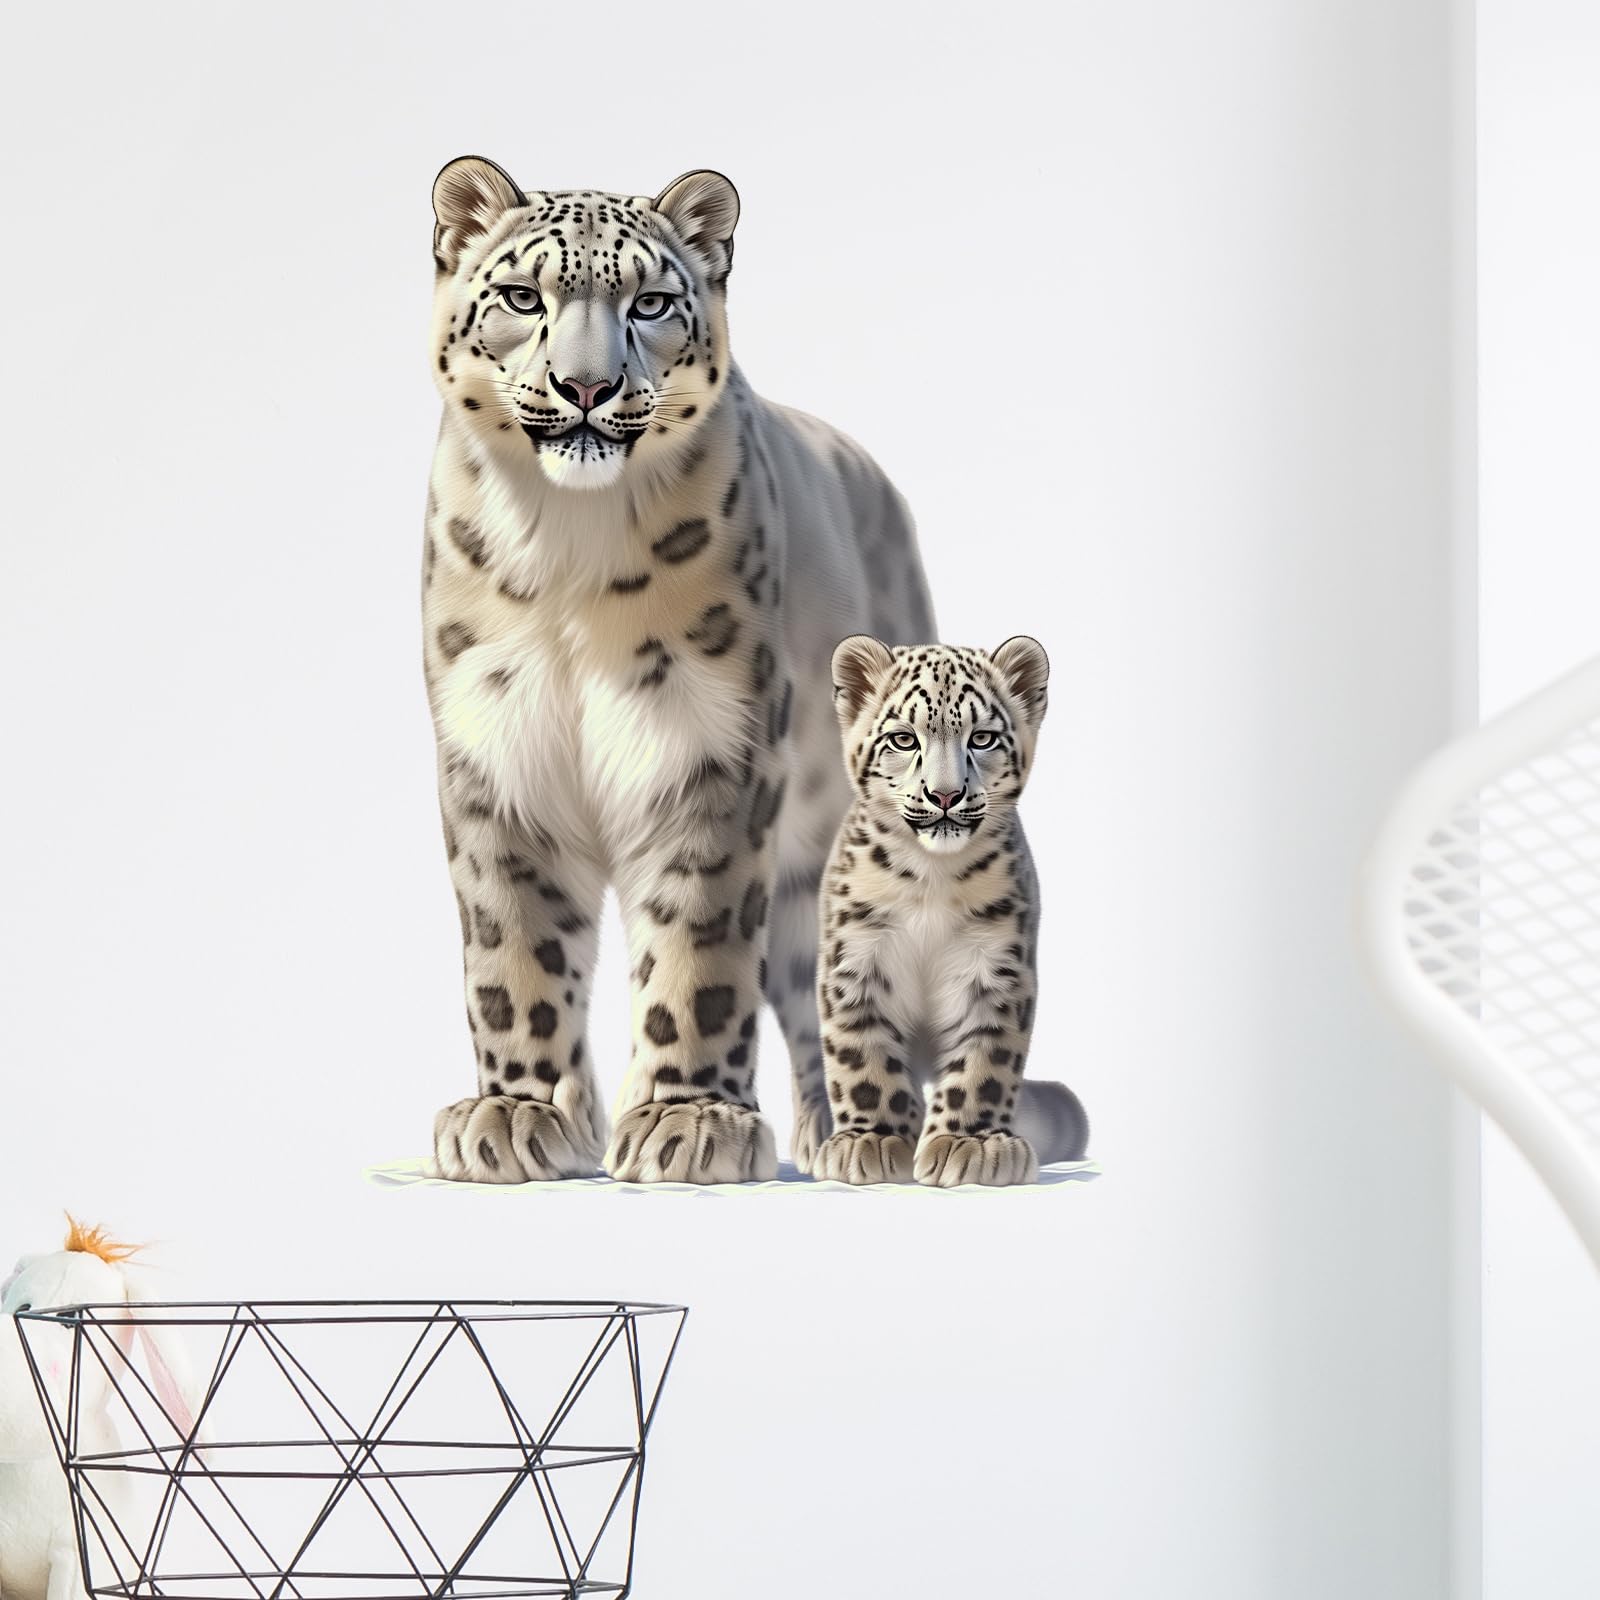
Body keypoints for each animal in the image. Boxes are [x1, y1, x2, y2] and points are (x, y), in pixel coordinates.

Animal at [421, 156, 934, 1183]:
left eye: (651, 301)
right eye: (522, 296)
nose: (585, 386)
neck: (566, 548)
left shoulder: (712, 753)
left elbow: (698, 951)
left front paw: (688, 1120)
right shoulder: (496, 753)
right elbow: (515, 949)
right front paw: (515, 1112)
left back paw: (842, 1141)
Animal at [810, 636, 1090, 1186]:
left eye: (982, 738)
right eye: (902, 739)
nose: (944, 794)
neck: (930, 878)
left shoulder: (996, 966)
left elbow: (985, 1061)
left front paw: (969, 1144)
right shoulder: (856, 959)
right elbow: (861, 1053)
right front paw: (871, 1140)